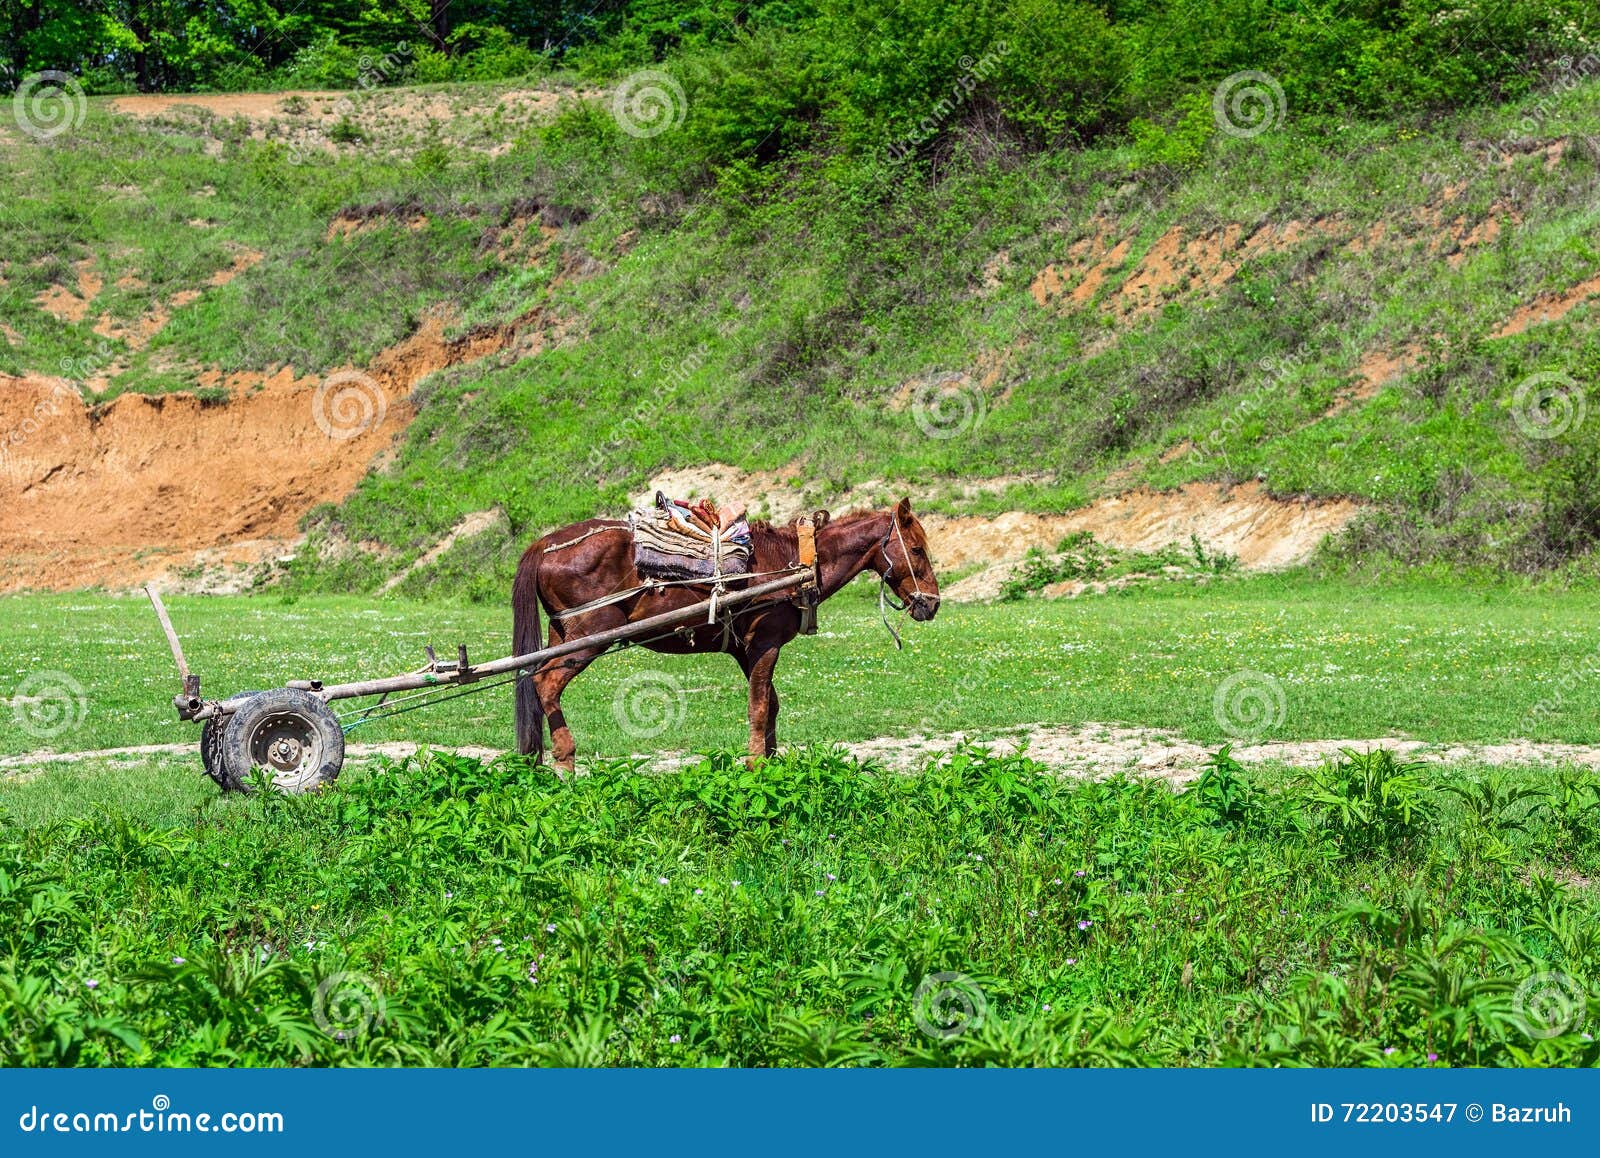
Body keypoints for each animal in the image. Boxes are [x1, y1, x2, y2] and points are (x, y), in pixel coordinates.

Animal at [511, 498, 941, 772]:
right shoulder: (765, 644)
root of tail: (544, 543)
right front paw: (754, 767)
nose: (932, 603)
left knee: (533, 678)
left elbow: (771, 706)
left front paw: (770, 764)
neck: (795, 562)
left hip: (562, 633)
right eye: (916, 549)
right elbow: (759, 708)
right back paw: (565, 761)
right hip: (589, 636)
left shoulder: (745, 651)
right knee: (546, 683)